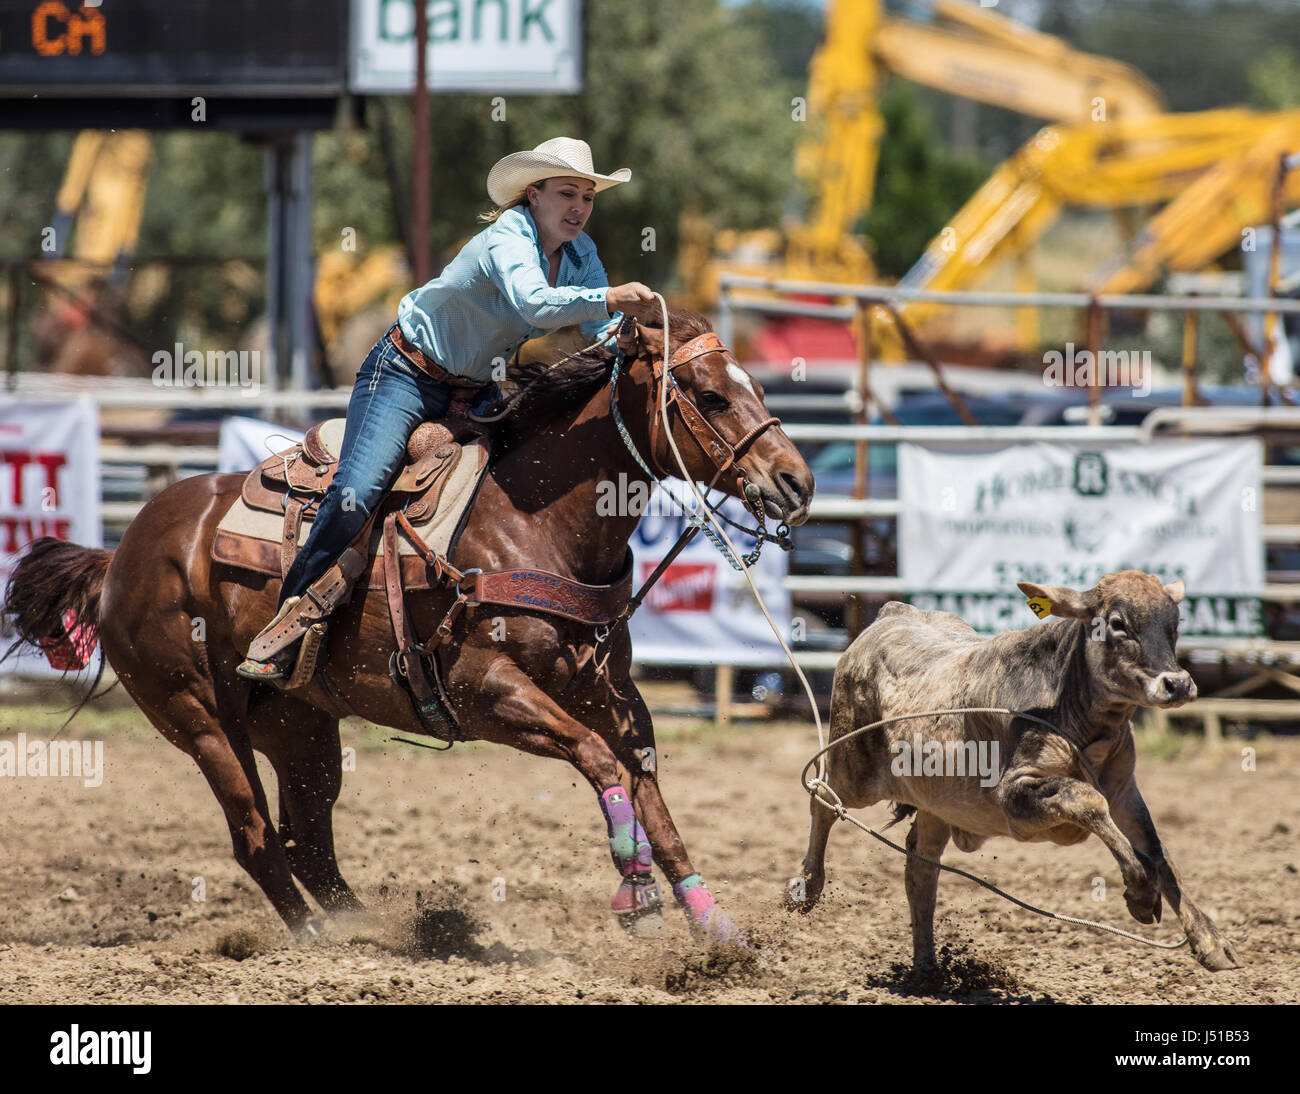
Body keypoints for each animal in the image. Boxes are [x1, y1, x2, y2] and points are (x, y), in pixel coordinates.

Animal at [794, 570, 1239, 973]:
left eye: (1175, 622)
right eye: (1117, 623)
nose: (1177, 684)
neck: (1073, 712)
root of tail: (892, 613)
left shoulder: (1126, 792)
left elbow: (1158, 851)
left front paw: (1209, 939)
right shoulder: (1014, 795)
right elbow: (1088, 800)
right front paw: (1141, 894)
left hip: (937, 805)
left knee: (920, 870)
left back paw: (927, 968)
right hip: (853, 766)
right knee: (822, 798)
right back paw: (806, 886)